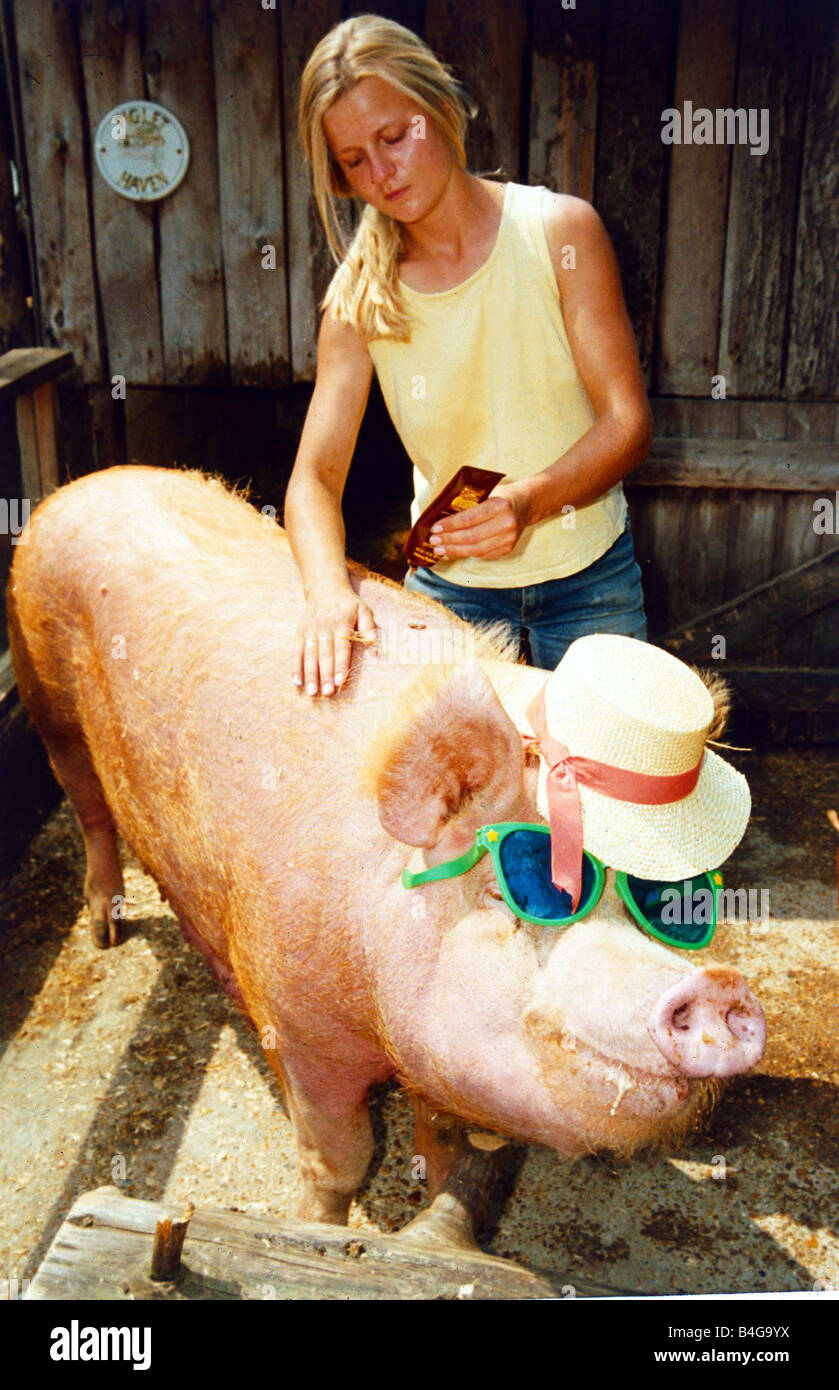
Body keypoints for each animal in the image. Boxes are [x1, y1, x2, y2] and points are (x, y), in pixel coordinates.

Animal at [7, 465, 766, 1229]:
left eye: (666, 905)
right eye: (527, 892)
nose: (718, 986)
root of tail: (83, 485)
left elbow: (442, 1140)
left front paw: (434, 1194)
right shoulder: (299, 1029)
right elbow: (341, 1158)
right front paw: (315, 1231)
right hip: (47, 698)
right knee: (89, 808)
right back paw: (105, 931)